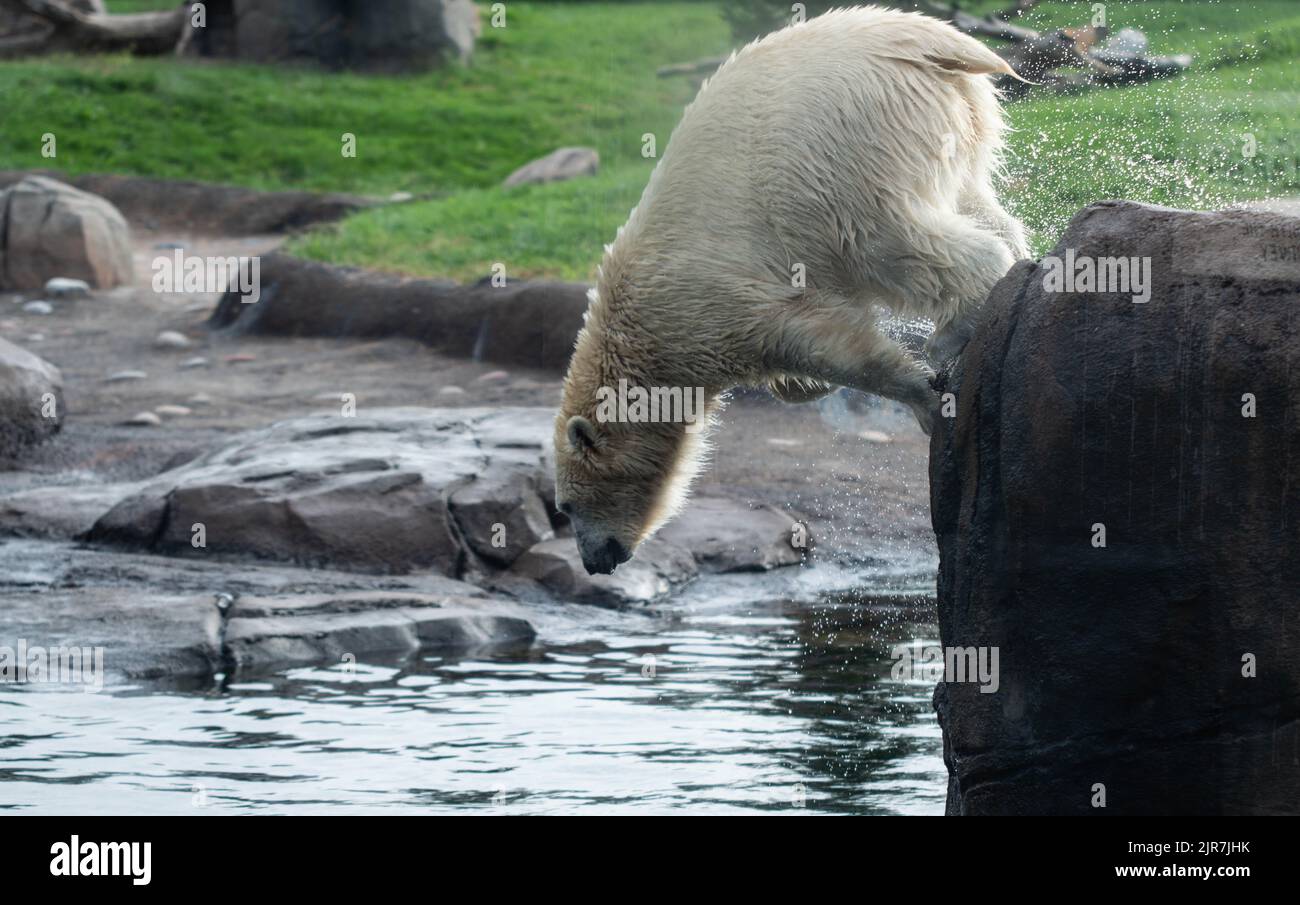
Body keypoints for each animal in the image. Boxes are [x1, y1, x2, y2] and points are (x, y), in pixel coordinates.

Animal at [554, 5, 1029, 575]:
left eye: (565, 506)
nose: (594, 561)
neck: (639, 338)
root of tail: (932, 41)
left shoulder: (715, 301)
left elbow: (823, 341)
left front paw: (923, 398)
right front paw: (804, 386)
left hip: (845, 151)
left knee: (889, 238)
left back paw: (952, 331)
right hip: (960, 121)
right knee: (978, 203)